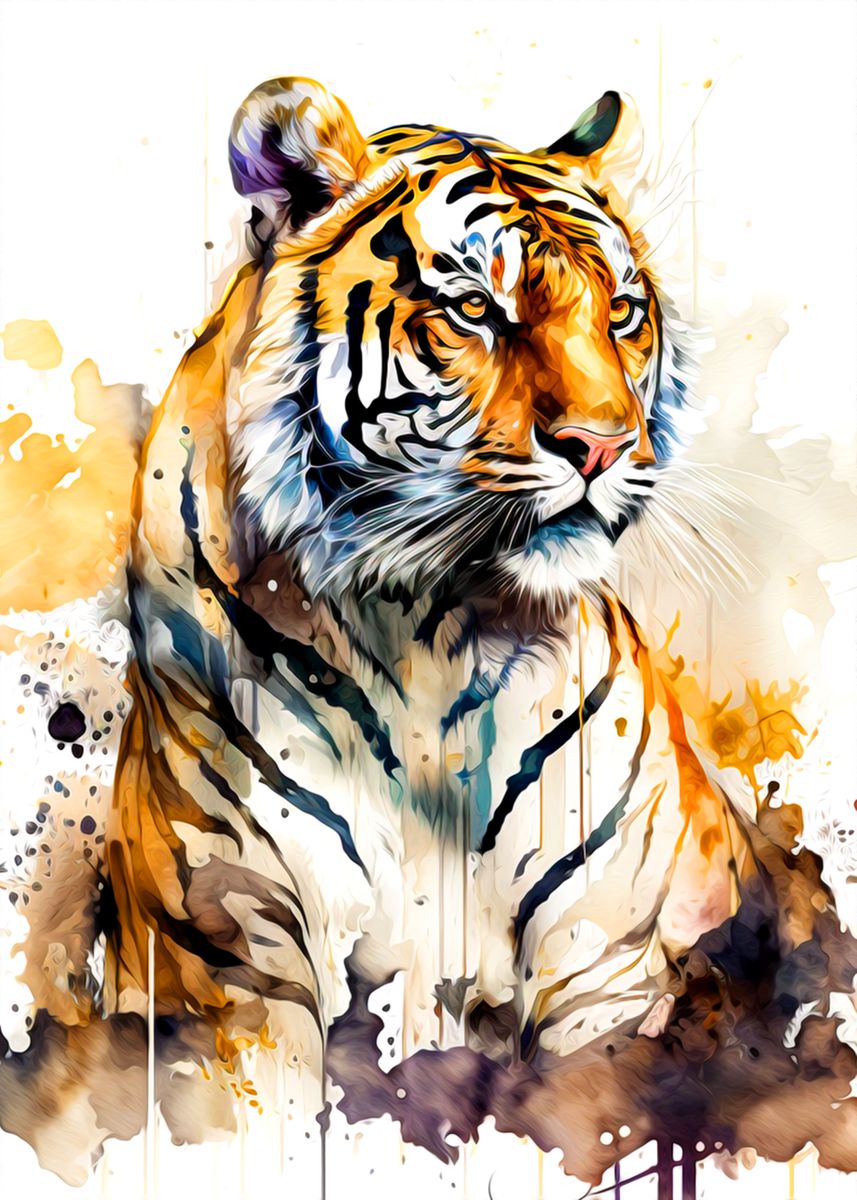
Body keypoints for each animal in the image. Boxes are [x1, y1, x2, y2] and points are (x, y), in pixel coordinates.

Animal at [6, 76, 855, 1185]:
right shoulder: (230, 953)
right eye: (474, 311)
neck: (428, 630)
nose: (604, 446)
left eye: (620, 313)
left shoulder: (606, 964)